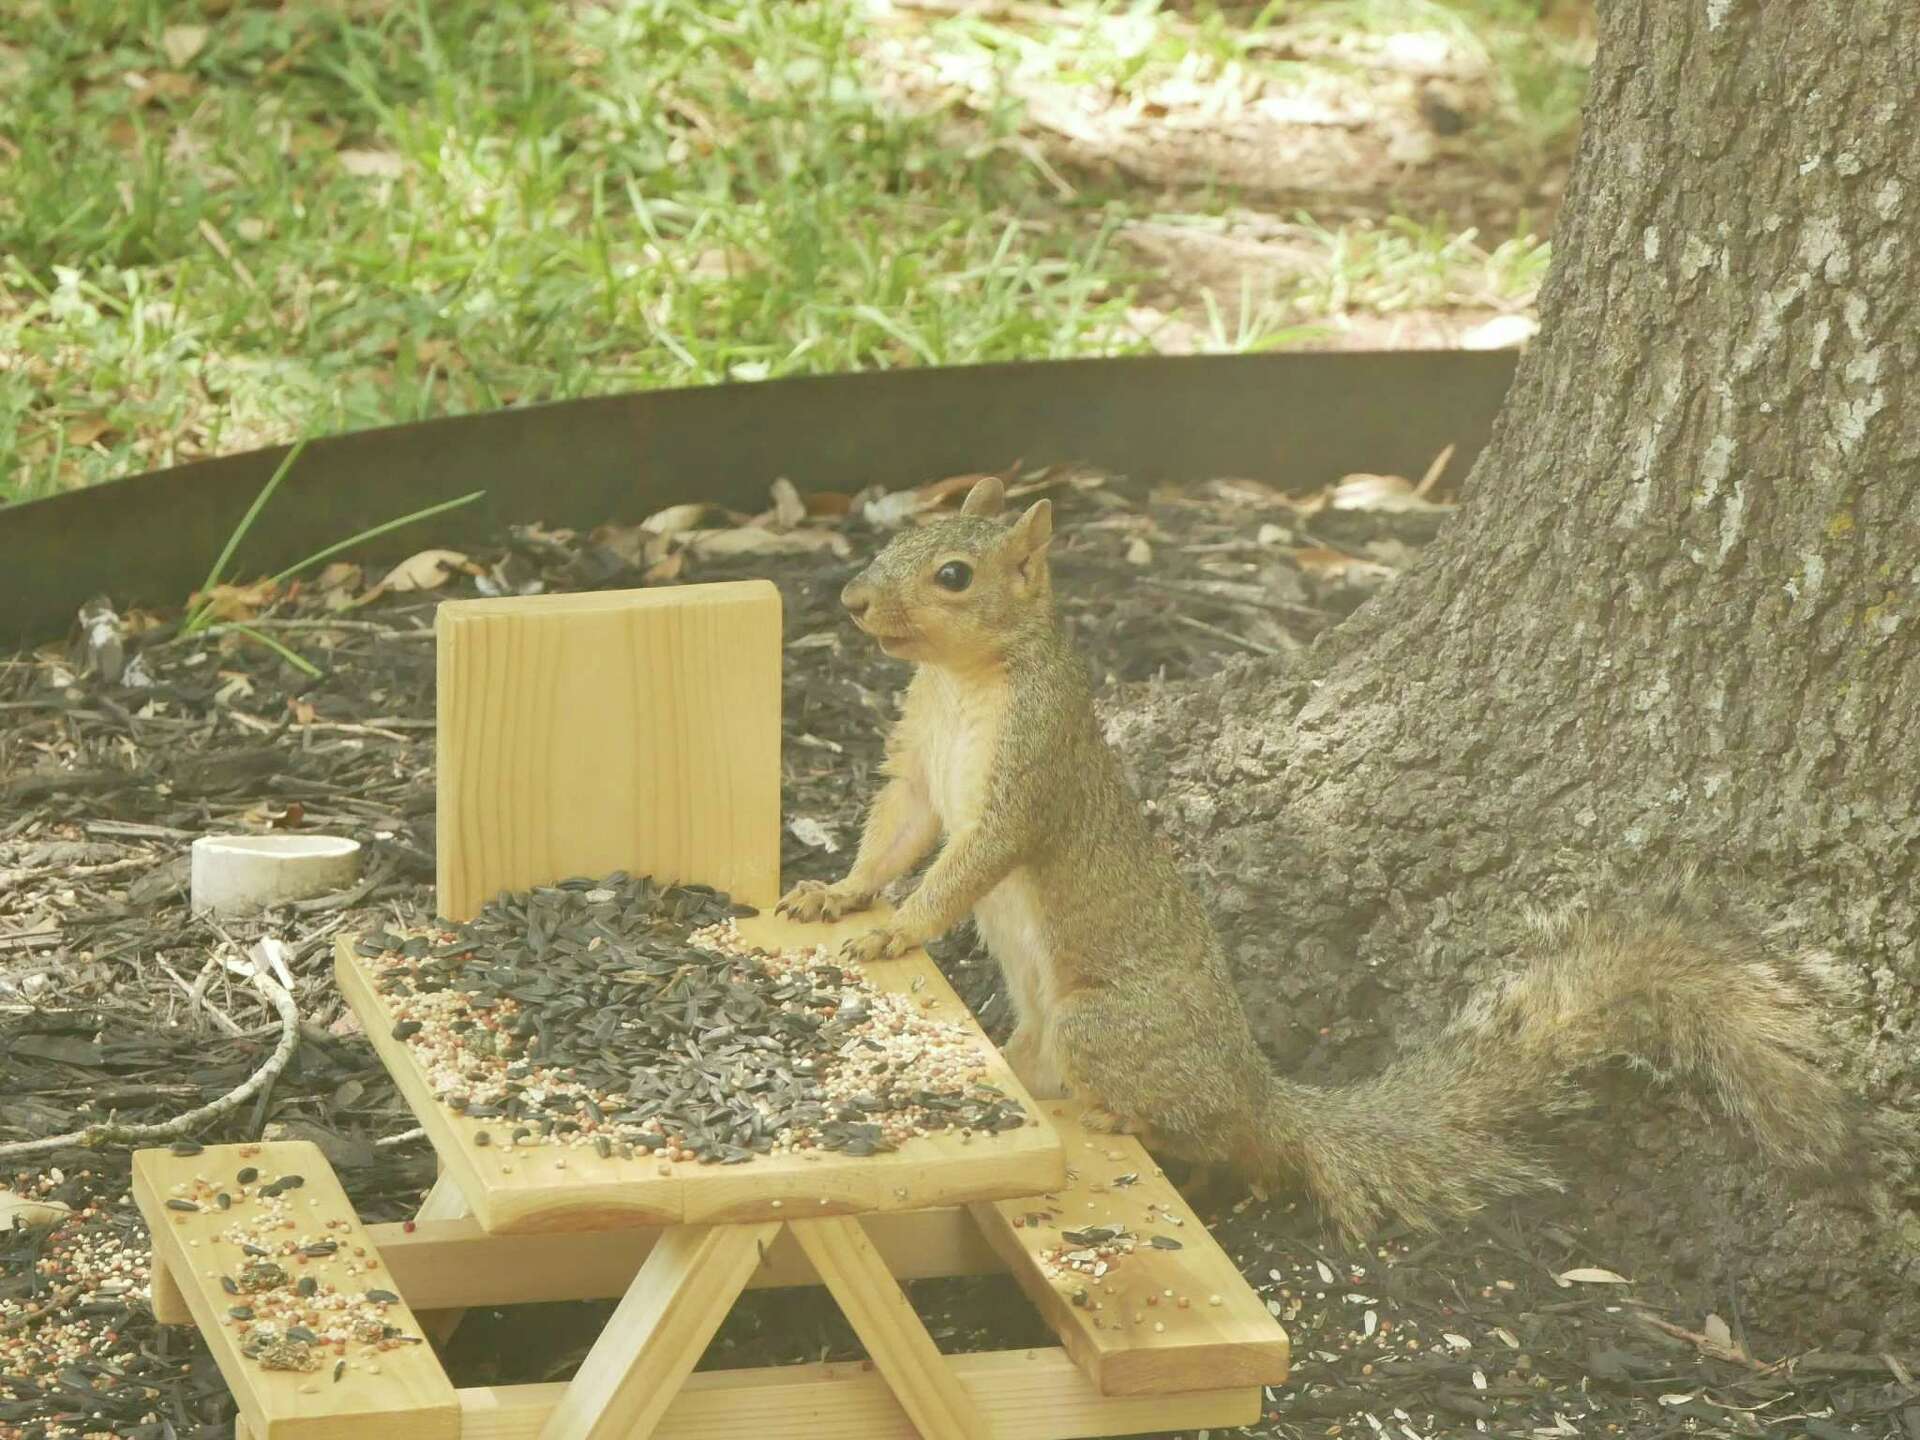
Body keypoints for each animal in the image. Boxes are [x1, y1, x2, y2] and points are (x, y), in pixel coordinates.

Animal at [777, 476, 1863, 1236]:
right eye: (894, 540)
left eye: (953, 576)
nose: (853, 598)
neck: (962, 683)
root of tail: (1264, 1096)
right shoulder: (920, 770)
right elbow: (896, 833)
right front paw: (837, 895)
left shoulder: (1029, 774)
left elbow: (968, 861)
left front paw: (899, 930)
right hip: (1044, 1045)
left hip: (1107, 1028)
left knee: (1206, 1138)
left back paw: (1134, 1127)